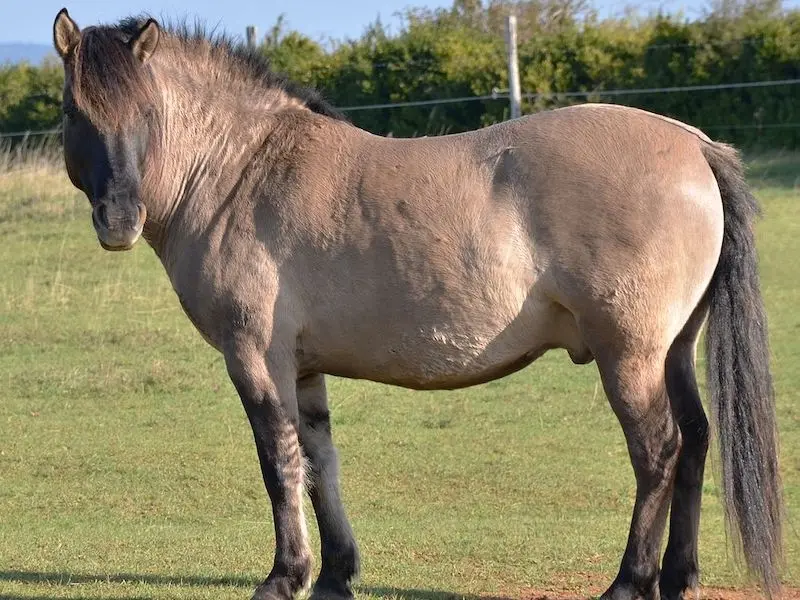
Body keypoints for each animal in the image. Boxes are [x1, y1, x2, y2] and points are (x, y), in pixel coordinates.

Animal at [51, 8, 783, 600]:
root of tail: (695, 145)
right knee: (695, 441)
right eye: (73, 114)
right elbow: (318, 462)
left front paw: (286, 576)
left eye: (148, 114)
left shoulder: (256, 359)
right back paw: (679, 577)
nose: (118, 220)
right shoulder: (303, 368)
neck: (243, 172)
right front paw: (336, 574)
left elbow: (278, 463)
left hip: (629, 355)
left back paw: (630, 581)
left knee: (658, 450)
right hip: (674, 350)